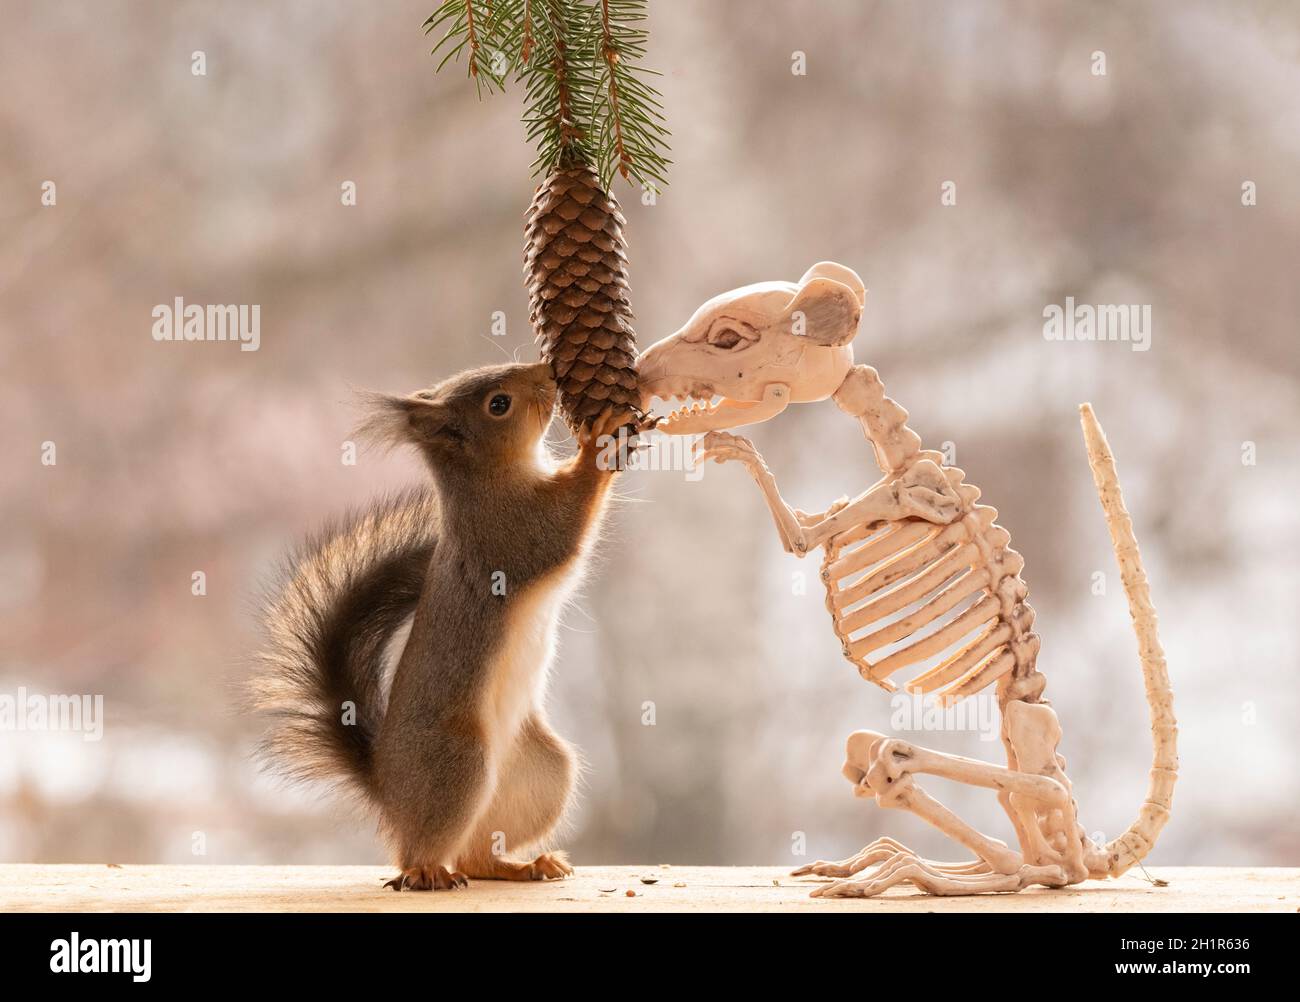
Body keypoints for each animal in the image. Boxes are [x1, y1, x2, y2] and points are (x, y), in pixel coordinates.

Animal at [250, 360, 624, 890]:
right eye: (498, 404)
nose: (548, 372)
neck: (488, 479)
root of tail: (388, 790)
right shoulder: (511, 536)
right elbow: (563, 529)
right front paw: (598, 442)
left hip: (542, 770)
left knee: (477, 856)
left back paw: (527, 865)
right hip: (456, 765)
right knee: (419, 850)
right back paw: (426, 871)